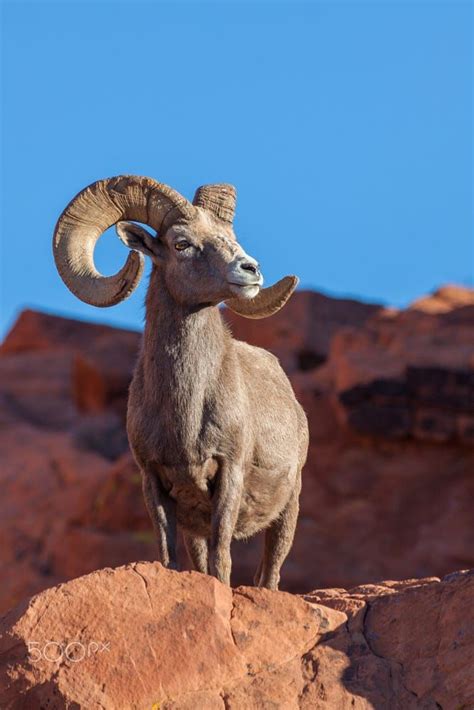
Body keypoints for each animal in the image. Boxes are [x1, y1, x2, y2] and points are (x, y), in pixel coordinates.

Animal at [53, 175, 309, 589]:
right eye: (182, 244)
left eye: (230, 236)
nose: (250, 270)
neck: (184, 413)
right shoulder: (156, 483)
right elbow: (169, 557)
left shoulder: (229, 474)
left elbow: (222, 559)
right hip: (198, 527)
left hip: (288, 509)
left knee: (270, 574)